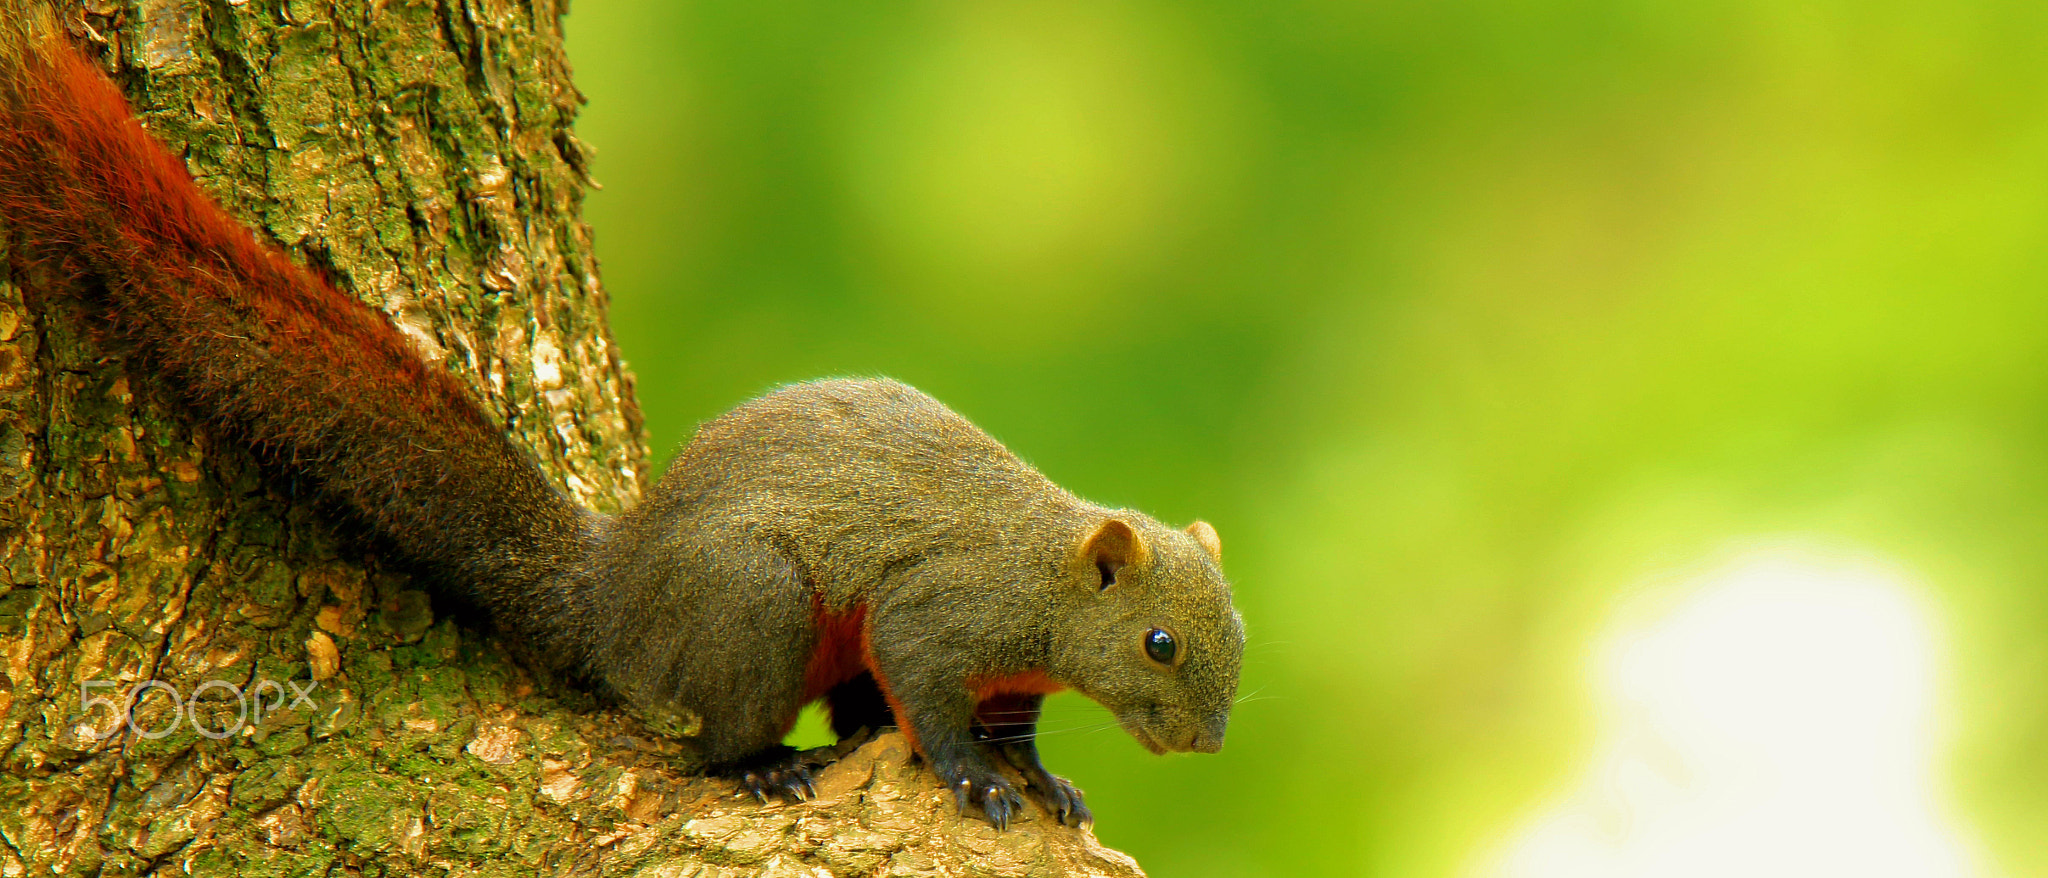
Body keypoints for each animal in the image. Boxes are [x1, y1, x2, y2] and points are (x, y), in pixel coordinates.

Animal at [0, 12, 1244, 830]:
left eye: (1232, 629)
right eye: (1159, 641)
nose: (1204, 742)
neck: (1044, 569)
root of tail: (620, 597)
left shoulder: (1013, 671)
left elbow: (1010, 724)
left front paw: (1040, 777)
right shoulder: (943, 612)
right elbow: (929, 692)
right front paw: (977, 775)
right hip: (753, 603)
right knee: (721, 734)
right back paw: (762, 766)